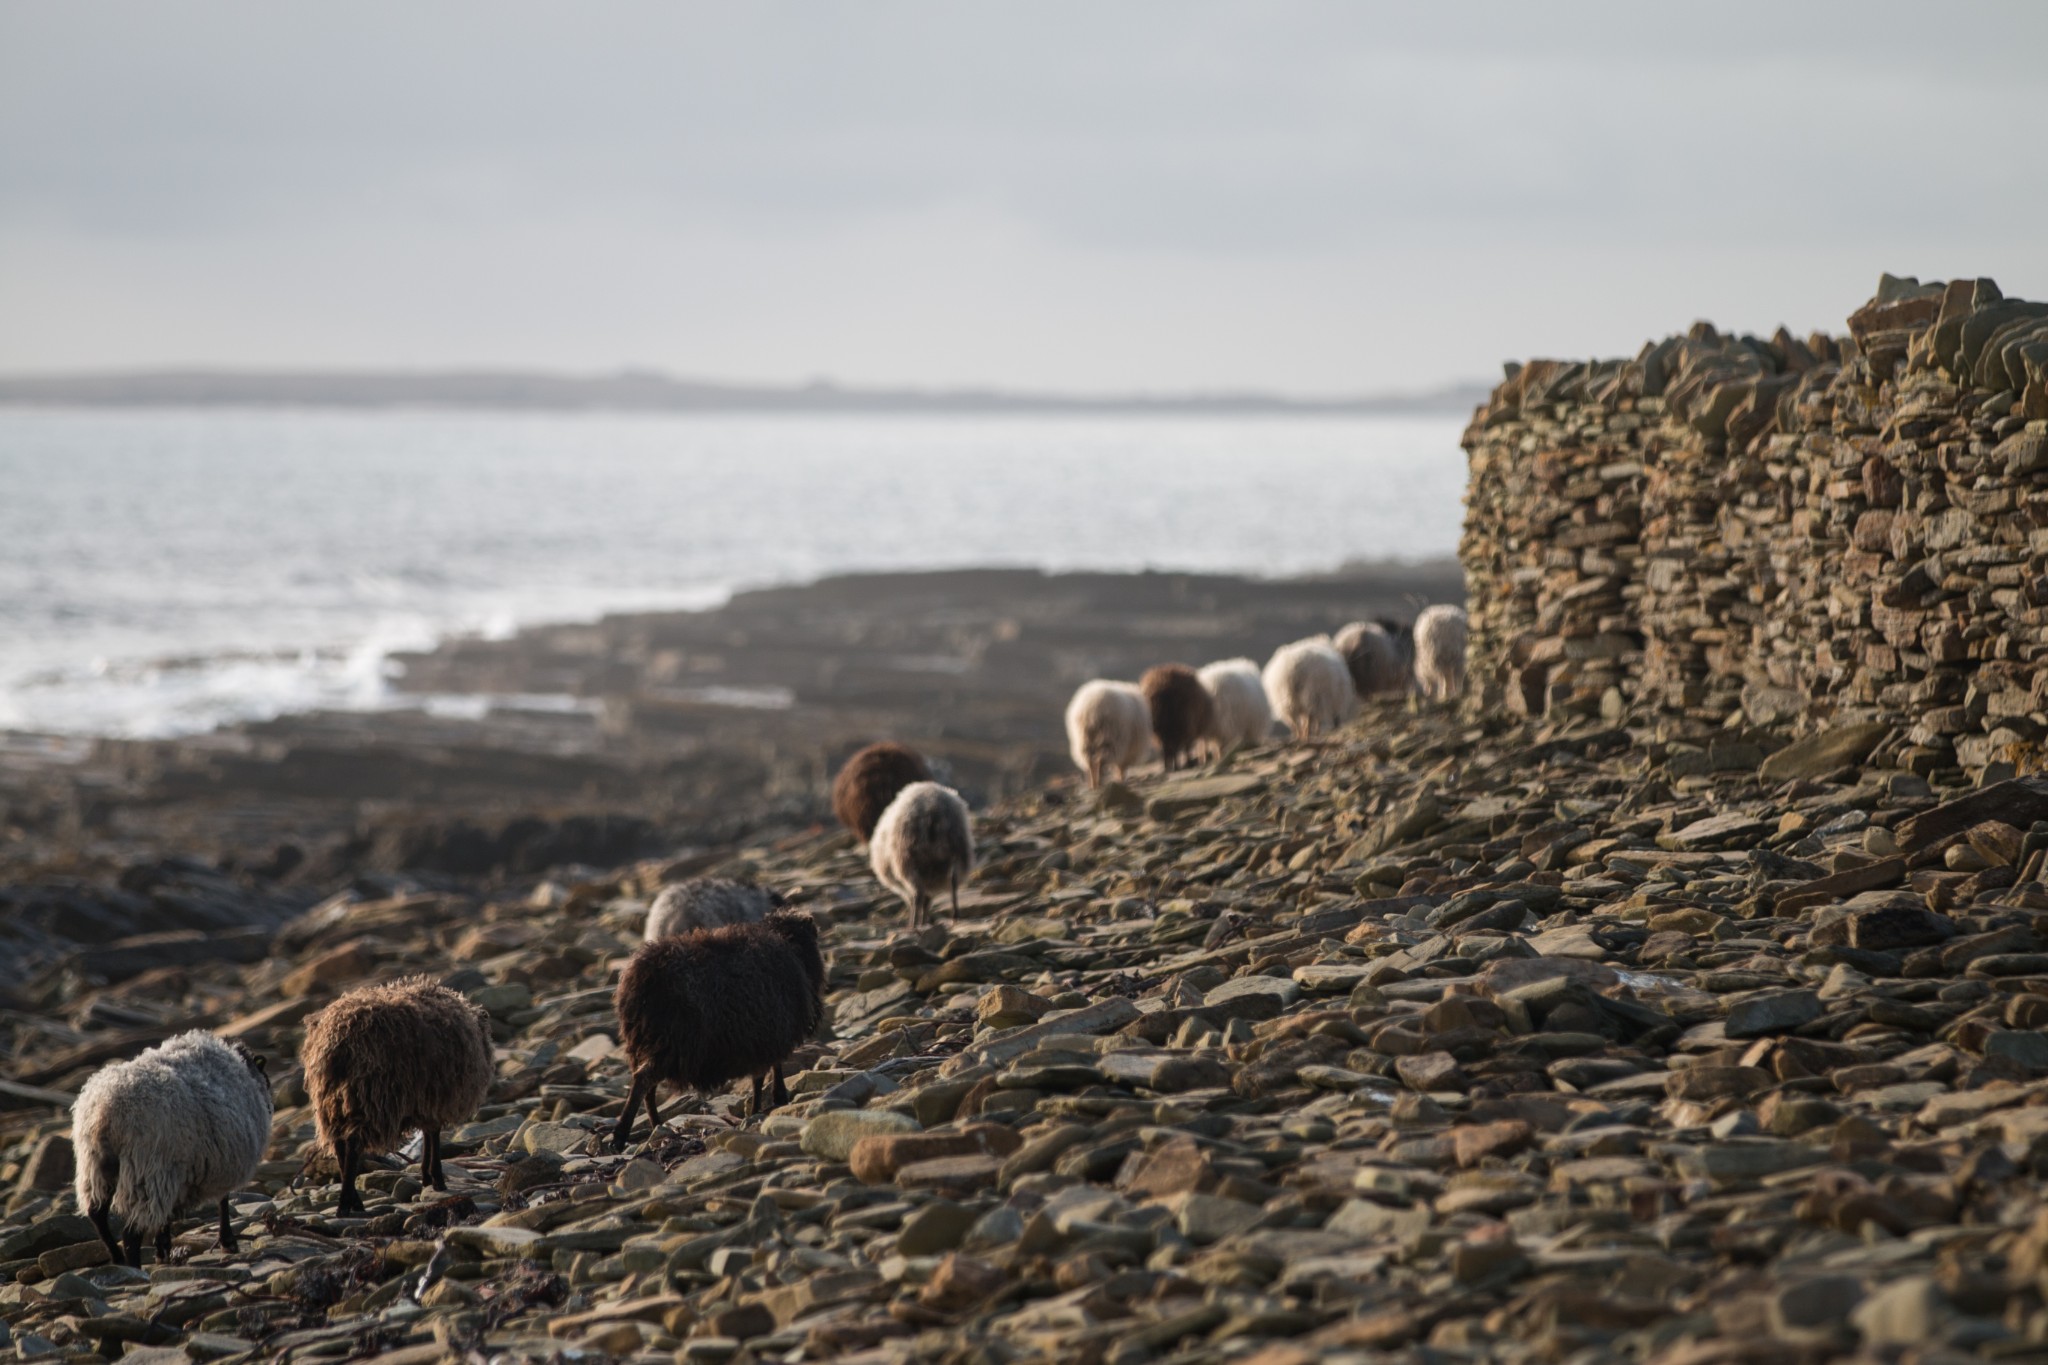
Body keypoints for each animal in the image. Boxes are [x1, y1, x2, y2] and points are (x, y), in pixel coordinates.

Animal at [73, 1031, 272, 1266]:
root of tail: (106, 1110)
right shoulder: (221, 1162)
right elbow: (223, 1200)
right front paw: (228, 1241)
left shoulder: (181, 1174)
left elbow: (167, 1216)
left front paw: (162, 1249)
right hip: (147, 1170)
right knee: (131, 1232)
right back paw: (134, 1267)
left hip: (97, 1167)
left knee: (97, 1216)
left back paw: (119, 1260)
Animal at [300, 977, 494, 1216]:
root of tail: (337, 1041)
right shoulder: (436, 1099)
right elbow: (434, 1135)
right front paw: (436, 1179)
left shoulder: (426, 1101)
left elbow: (429, 1134)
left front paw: (427, 1176)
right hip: (370, 1096)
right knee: (352, 1146)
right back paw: (346, 1205)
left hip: (333, 1102)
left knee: (339, 1146)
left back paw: (353, 1200)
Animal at [611, 910, 825, 1148]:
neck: (792, 949)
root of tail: (642, 978)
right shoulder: (769, 1035)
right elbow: (764, 1074)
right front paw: (766, 1105)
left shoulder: (763, 1037)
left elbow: (764, 1073)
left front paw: (763, 1106)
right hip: (670, 1043)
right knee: (643, 1080)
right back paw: (621, 1135)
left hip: (642, 1044)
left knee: (646, 1086)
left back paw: (656, 1125)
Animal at [869, 780, 975, 930]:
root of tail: (933, 805)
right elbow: (927, 900)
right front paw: (924, 920)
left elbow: (921, 899)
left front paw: (921, 921)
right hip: (958, 849)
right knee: (953, 880)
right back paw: (954, 915)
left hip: (907, 856)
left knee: (917, 893)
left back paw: (913, 925)